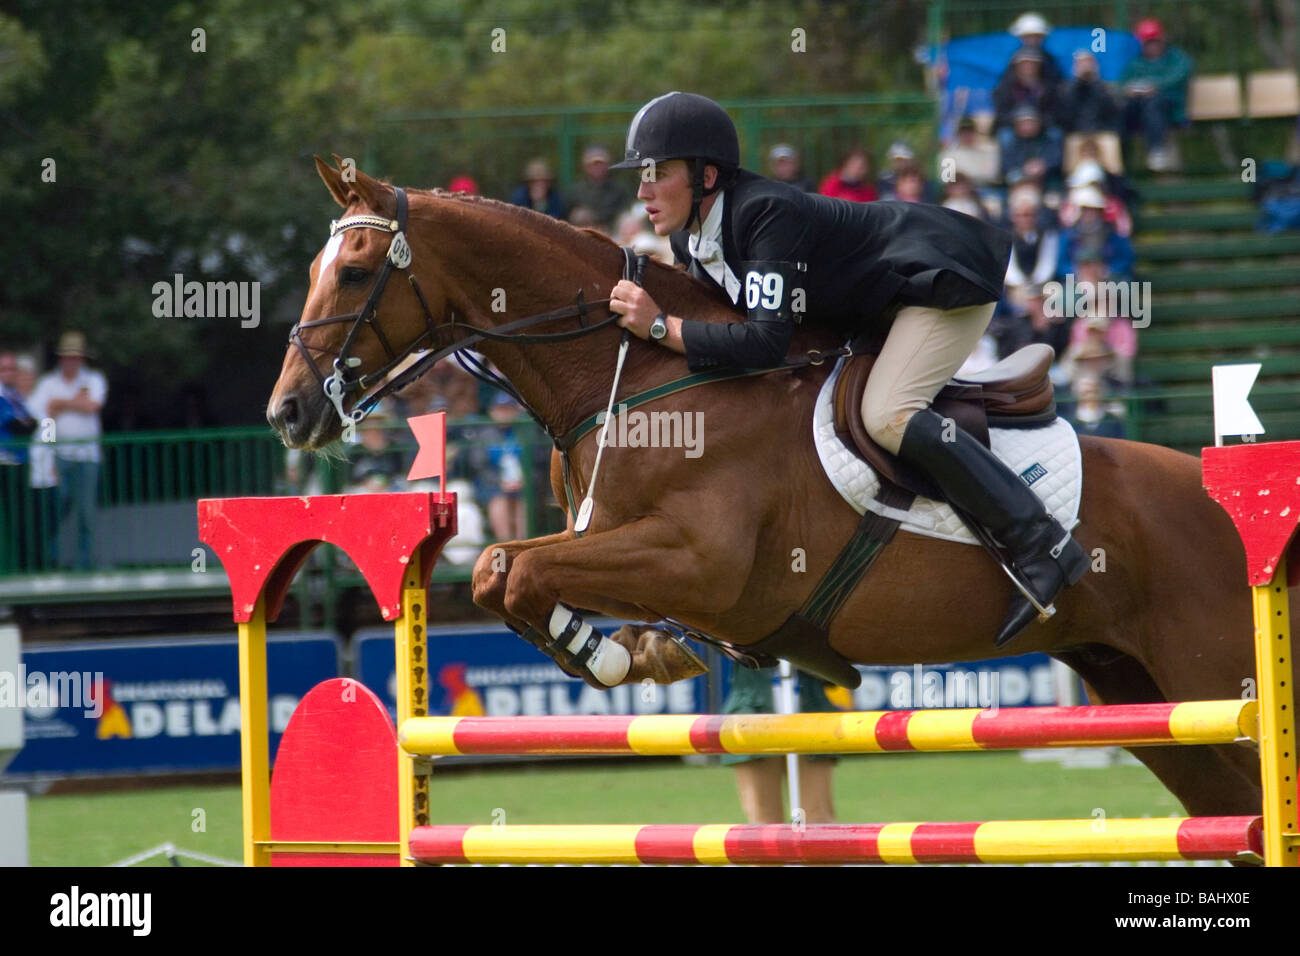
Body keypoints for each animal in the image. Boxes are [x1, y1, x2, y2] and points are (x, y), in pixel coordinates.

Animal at [267, 157, 1292, 822]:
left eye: (353, 271)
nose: (288, 414)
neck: (643, 376)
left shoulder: (698, 562)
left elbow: (509, 570)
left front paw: (616, 660)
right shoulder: (614, 547)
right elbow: (503, 571)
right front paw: (634, 655)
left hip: (1213, 677)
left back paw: (1044, 559)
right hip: (1151, 703)